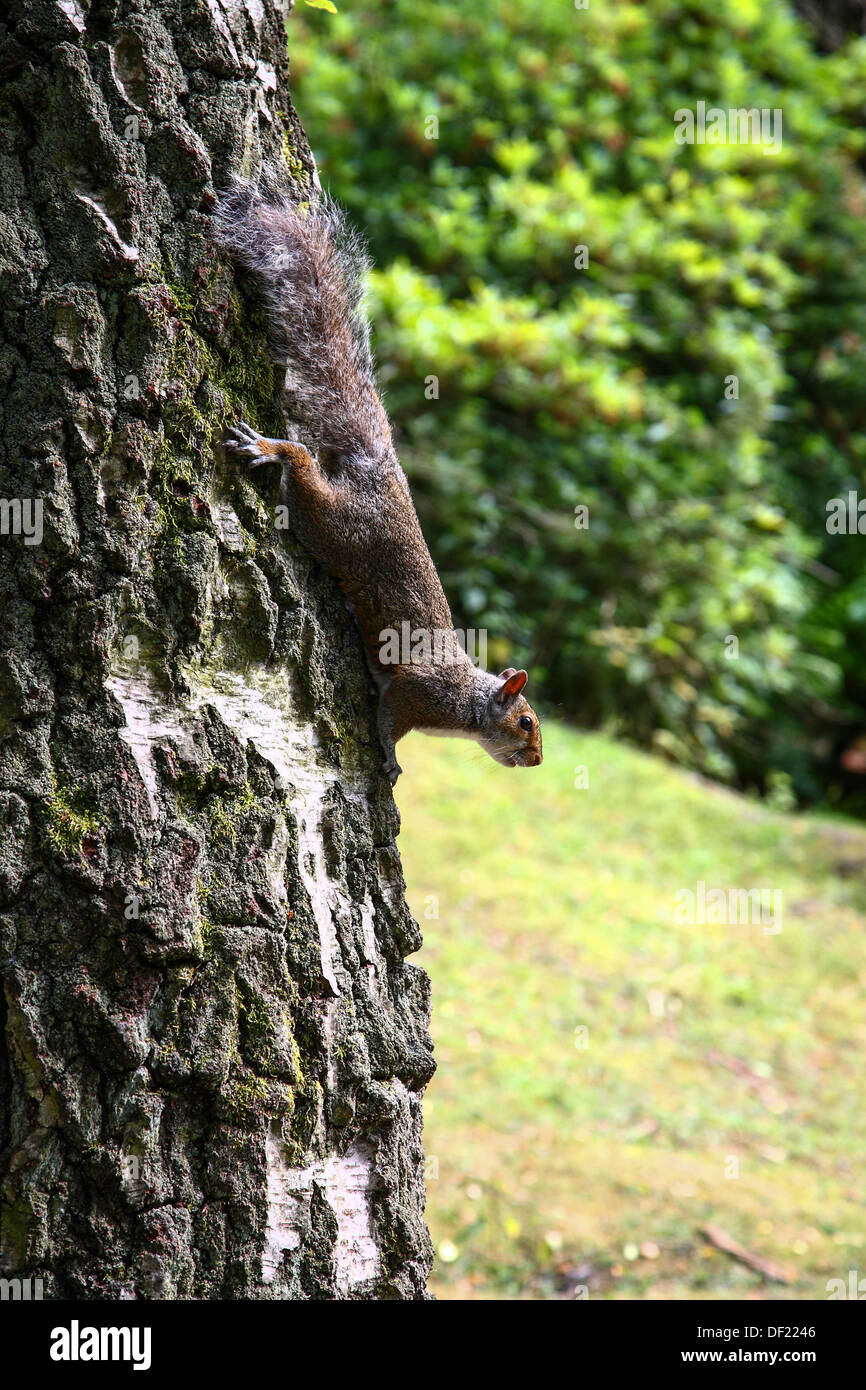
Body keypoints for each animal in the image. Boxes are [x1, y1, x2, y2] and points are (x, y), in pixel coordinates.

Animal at [213, 179, 542, 784]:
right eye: (526, 722)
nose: (535, 761)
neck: (466, 703)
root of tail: (379, 469)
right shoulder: (416, 693)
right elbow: (389, 721)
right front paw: (389, 761)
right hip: (335, 525)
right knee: (302, 468)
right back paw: (271, 449)